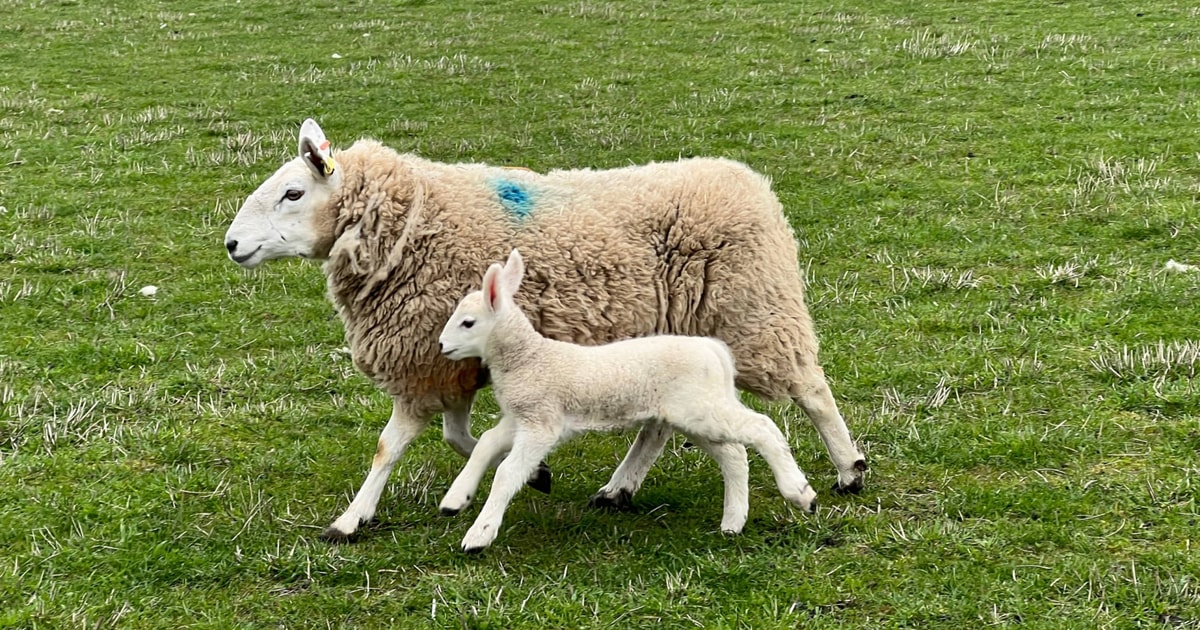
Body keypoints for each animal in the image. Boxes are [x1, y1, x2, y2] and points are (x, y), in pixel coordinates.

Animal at [438, 249, 818, 551]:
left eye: (467, 323)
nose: (441, 346)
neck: (529, 358)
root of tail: (714, 351)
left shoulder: (541, 423)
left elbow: (506, 471)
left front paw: (479, 534)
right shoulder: (520, 417)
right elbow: (486, 444)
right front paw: (456, 499)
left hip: (701, 408)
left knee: (762, 428)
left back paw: (800, 493)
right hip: (694, 414)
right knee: (735, 454)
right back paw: (733, 522)